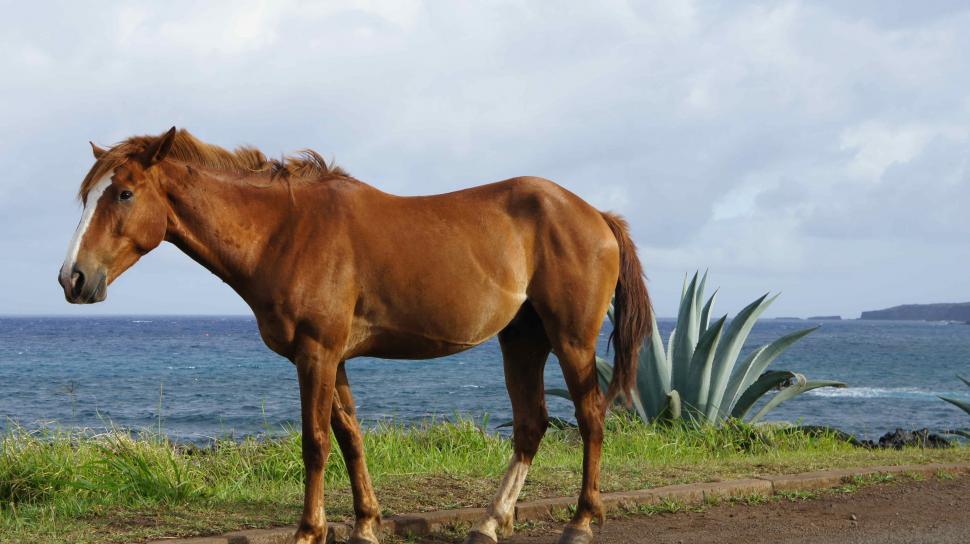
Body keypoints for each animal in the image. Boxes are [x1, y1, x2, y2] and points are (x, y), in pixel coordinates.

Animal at [58, 127, 651, 544]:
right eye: (89, 197)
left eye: (124, 194)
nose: (73, 278)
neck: (285, 231)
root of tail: (595, 214)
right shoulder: (333, 357)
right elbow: (350, 437)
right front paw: (366, 523)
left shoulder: (315, 354)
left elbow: (315, 442)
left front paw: (309, 530)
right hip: (522, 338)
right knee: (531, 424)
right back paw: (490, 521)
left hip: (570, 339)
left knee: (590, 417)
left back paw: (580, 521)